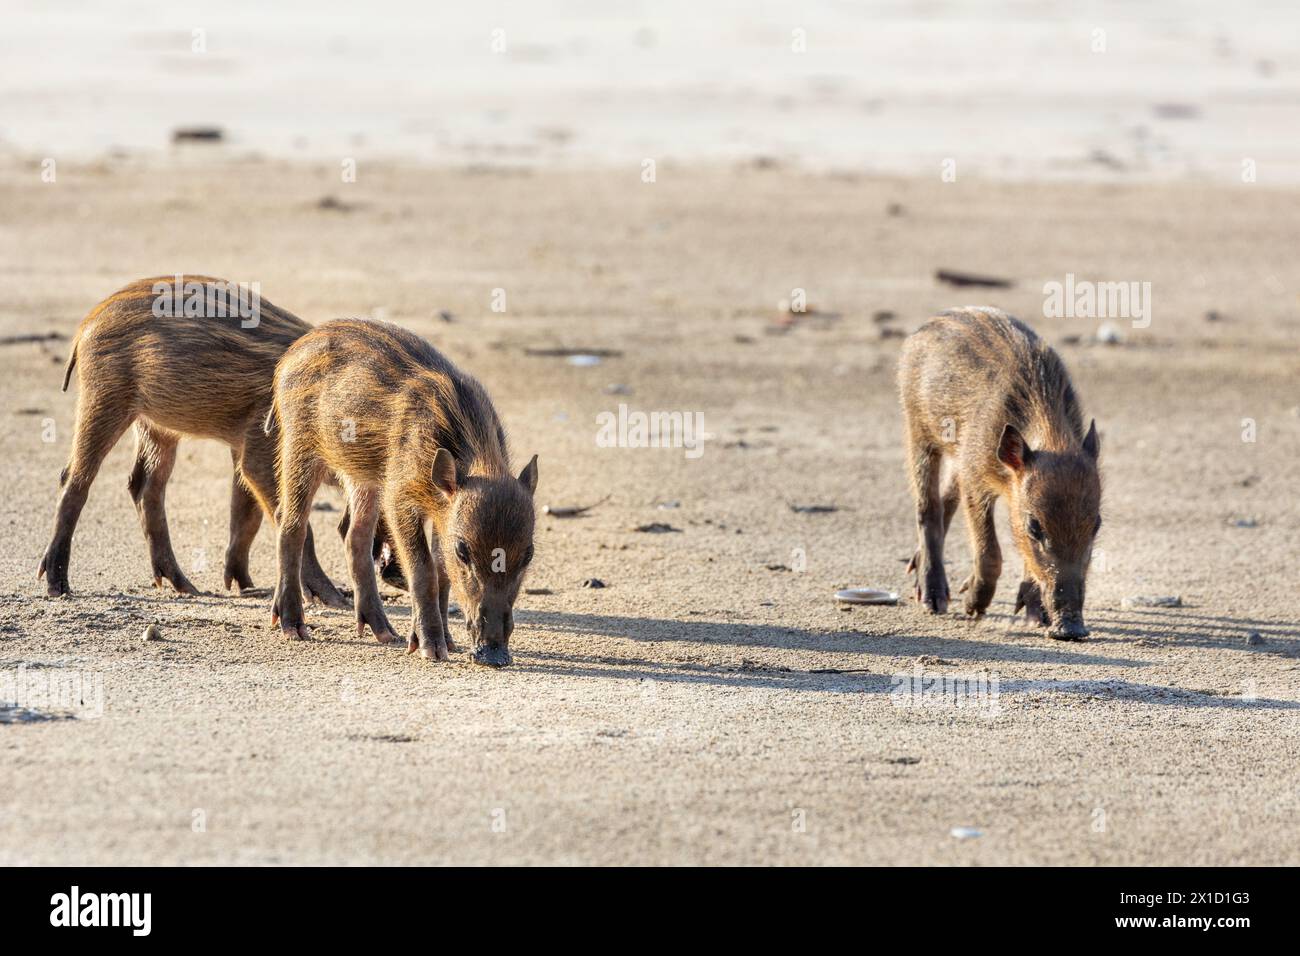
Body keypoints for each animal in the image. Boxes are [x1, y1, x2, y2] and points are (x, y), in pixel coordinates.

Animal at [39, 276, 349, 606]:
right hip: (104, 399)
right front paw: (330, 597)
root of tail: (86, 325)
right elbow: (293, 522)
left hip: (156, 427)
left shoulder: (243, 449)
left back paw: (183, 585)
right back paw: (58, 585)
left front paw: (245, 585)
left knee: (144, 487)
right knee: (74, 479)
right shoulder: (261, 451)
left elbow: (245, 515)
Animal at [266, 319, 537, 666]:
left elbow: (441, 571)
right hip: (299, 446)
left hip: (362, 476)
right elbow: (424, 570)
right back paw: (293, 626)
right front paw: (431, 648)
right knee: (291, 525)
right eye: (463, 551)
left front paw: (446, 642)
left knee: (355, 536)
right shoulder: (399, 497)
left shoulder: (439, 511)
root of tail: (290, 354)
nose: (494, 654)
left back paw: (383, 632)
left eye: (528, 554)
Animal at [897, 307, 1102, 640]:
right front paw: (972, 606)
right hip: (918, 429)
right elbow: (989, 552)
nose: (1071, 629)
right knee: (927, 507)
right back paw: (933, 598)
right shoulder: (976, 478)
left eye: (1096, 524)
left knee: (945, 502)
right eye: (1035, 527)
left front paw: (1035, 617)